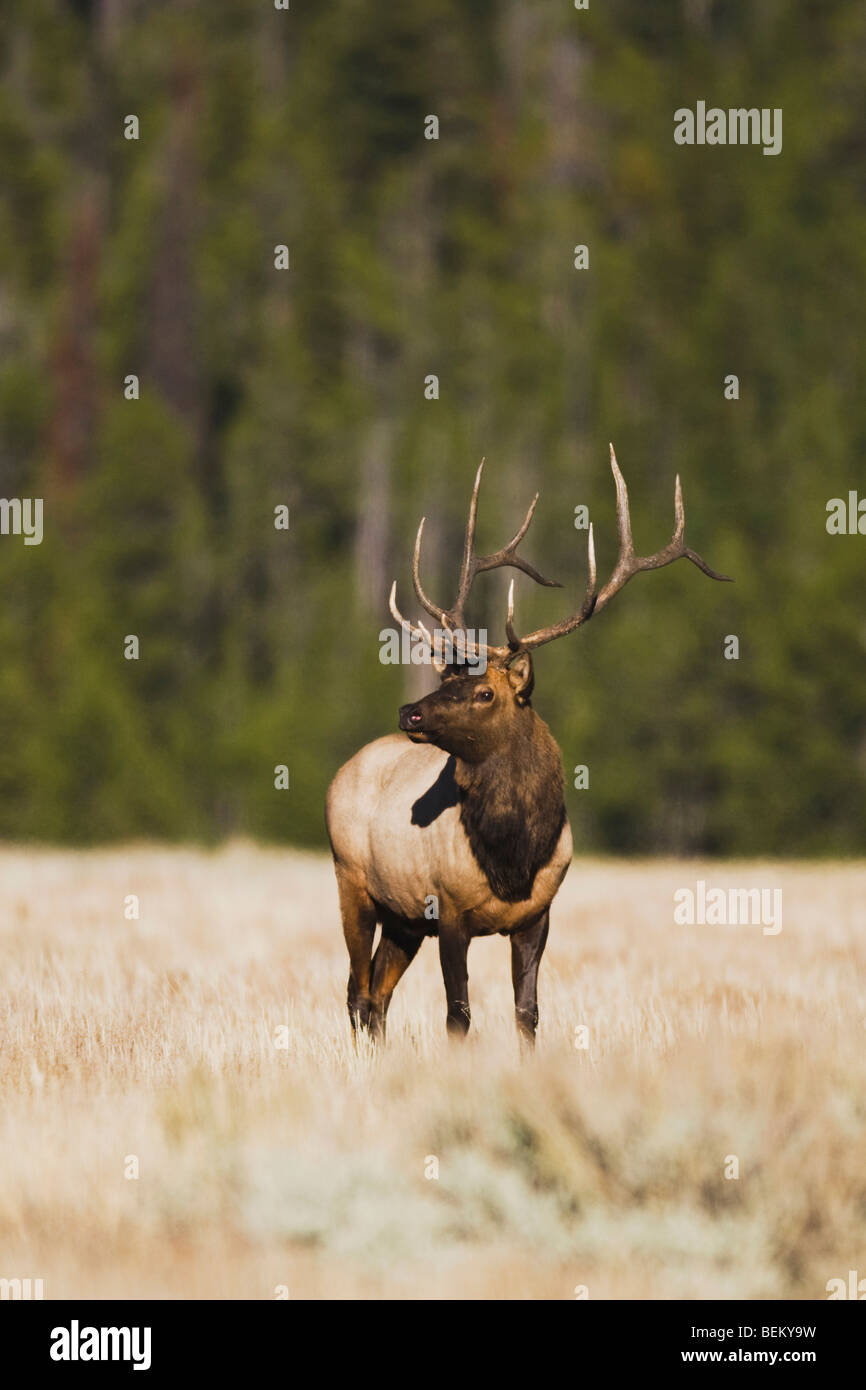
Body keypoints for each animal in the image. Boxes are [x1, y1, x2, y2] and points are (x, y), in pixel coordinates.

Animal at [326, 445, 730, 1045]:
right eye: (449, 679)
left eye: (485, 691)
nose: (409, 711)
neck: (512, 860)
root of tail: (341, 772)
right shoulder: (450, 910)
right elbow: (459, 1016)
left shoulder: (538, 915)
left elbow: (527, 1014)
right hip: (352, 880)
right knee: (355, 990)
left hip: (403, 917)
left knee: (377, 993)